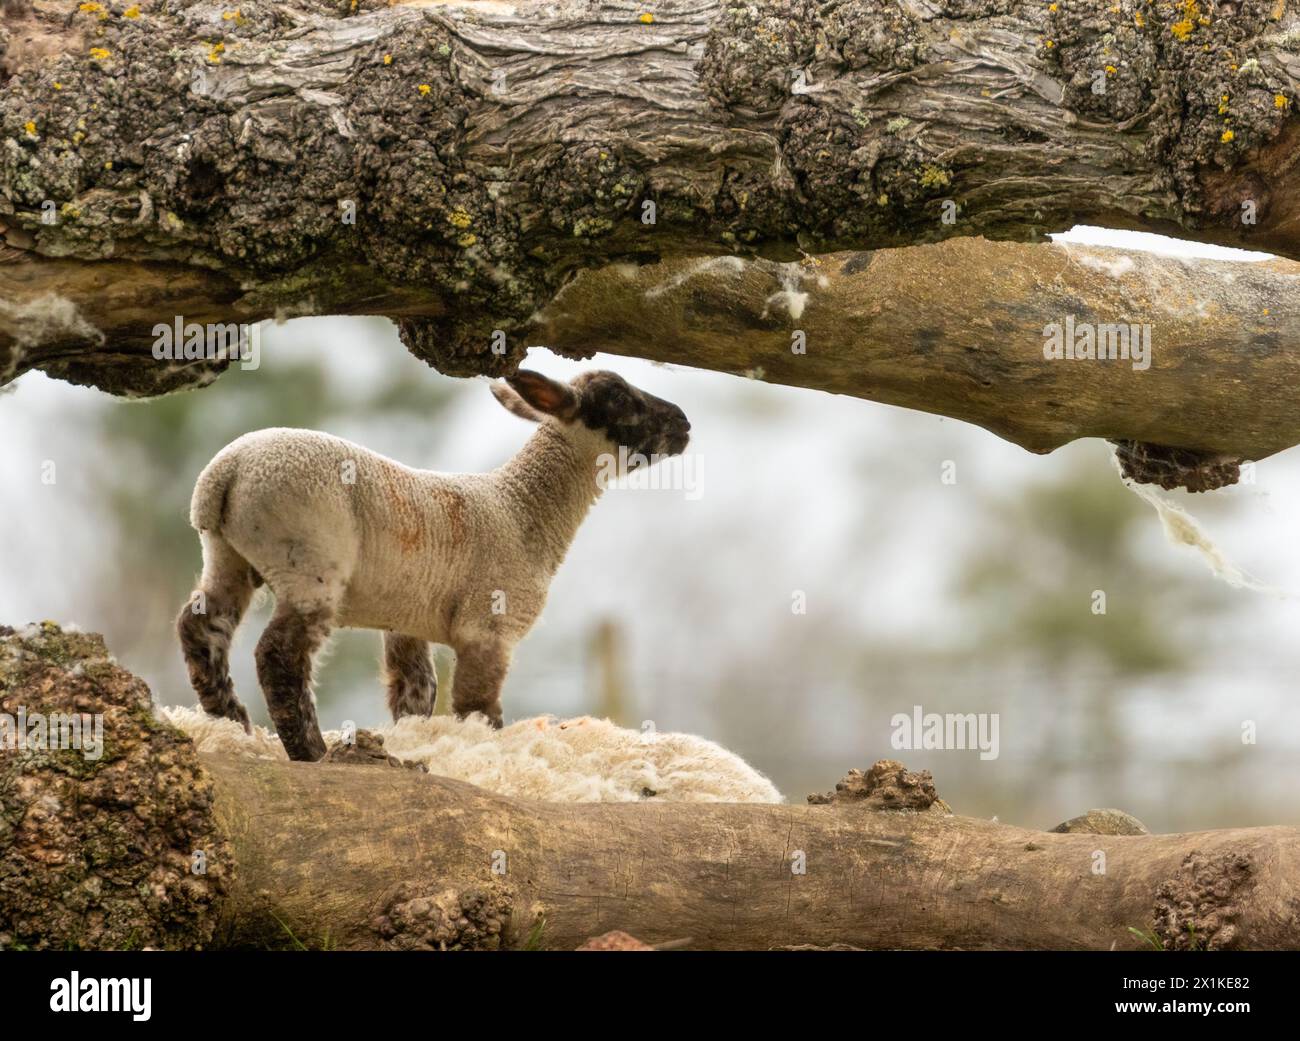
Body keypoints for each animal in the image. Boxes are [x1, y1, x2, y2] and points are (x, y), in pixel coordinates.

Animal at [176, 369, 691, 761]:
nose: (684, 423)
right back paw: (311, 751)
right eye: (619, 396)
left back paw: (231, 723)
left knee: (201, 627)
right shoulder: (488, 626)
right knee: (278, 656)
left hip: (225, 554)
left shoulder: (408, 622)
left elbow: (416, 695)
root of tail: (225, 473)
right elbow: (478, 710)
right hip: (309, 559)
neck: (521, 508)